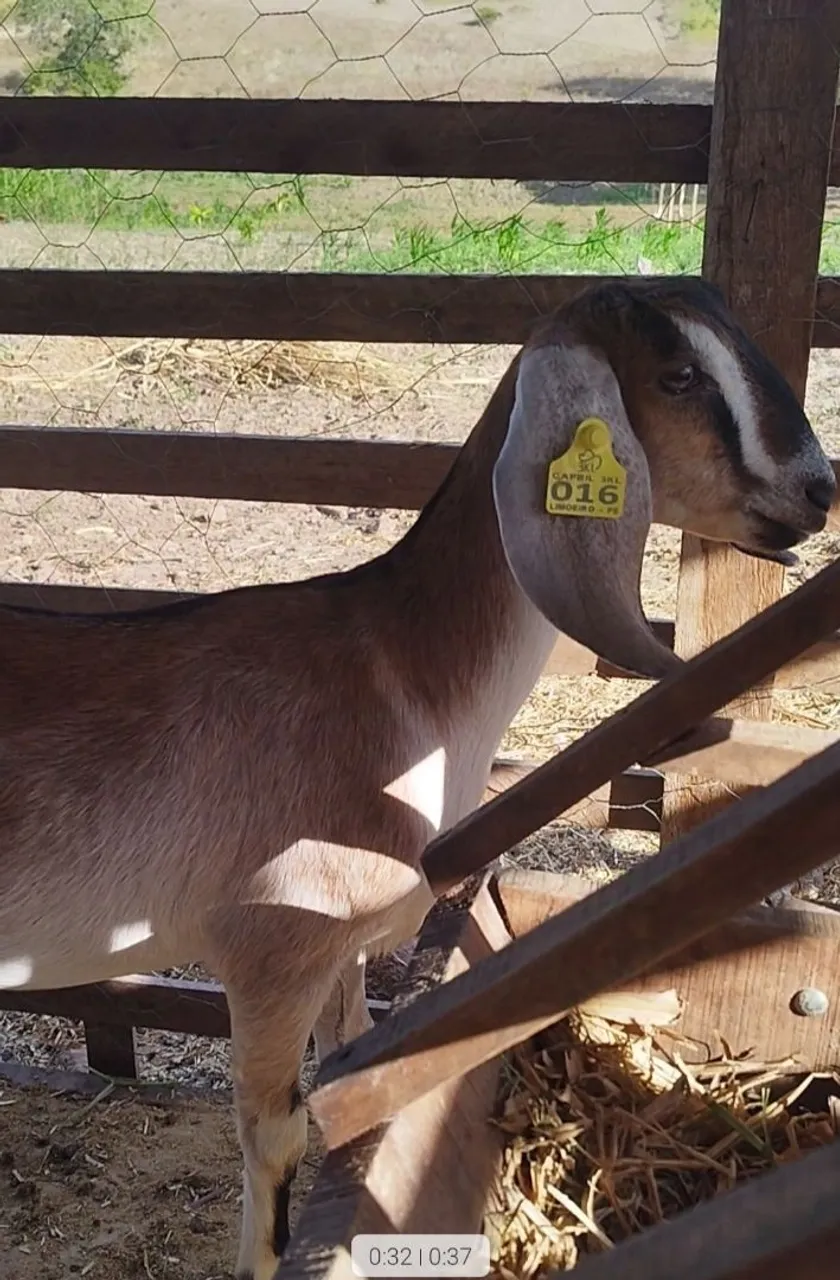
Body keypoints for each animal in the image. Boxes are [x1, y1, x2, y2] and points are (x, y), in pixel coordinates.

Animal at [0, 278, 834, 1280]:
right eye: (678, 375)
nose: (821, 491)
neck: (395, 674)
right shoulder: (270, 949)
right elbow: (277, 1139)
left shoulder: (339, 952)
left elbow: (352, 1053)